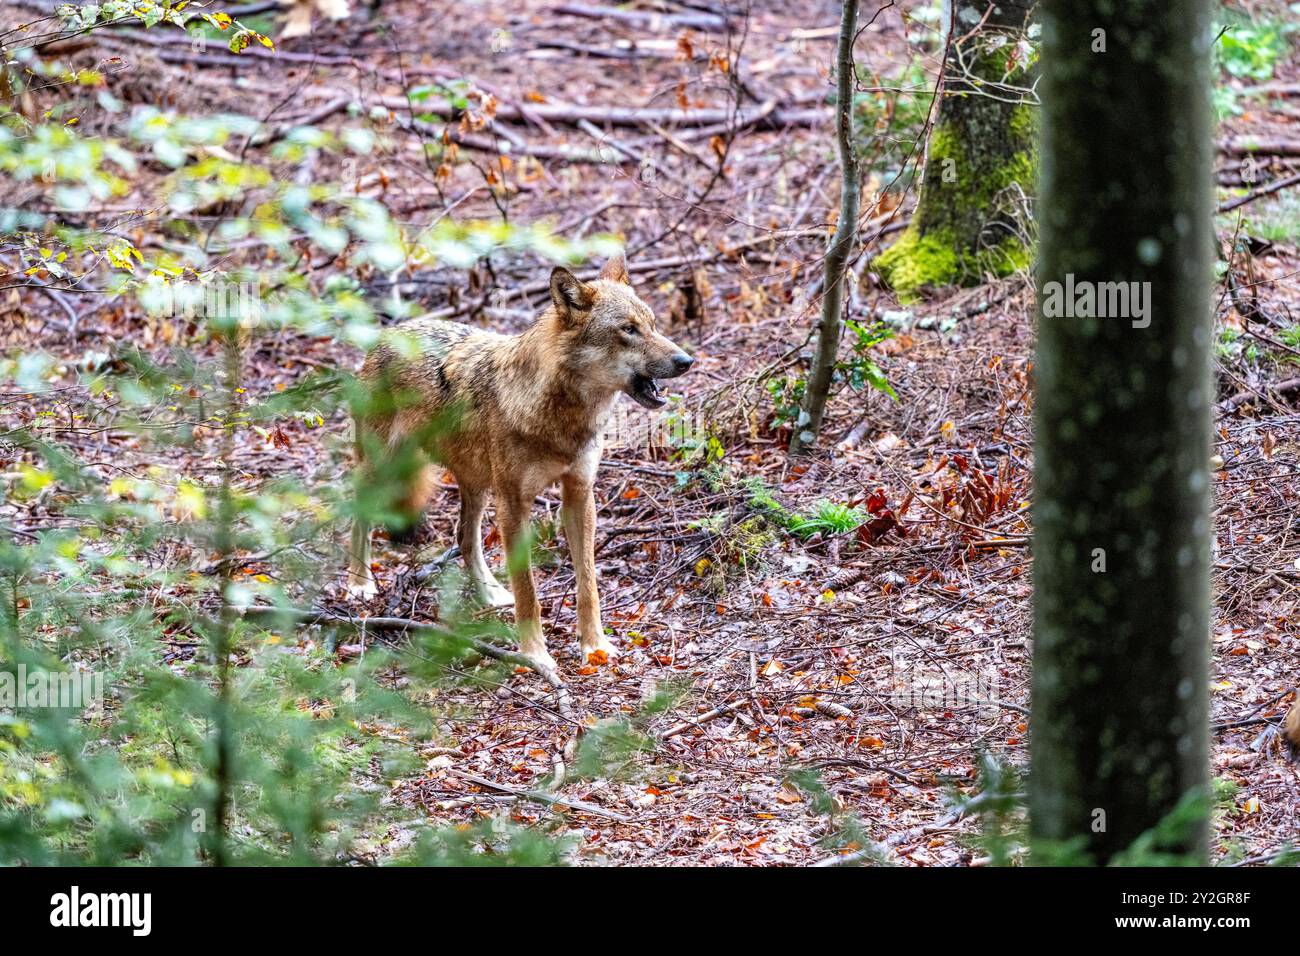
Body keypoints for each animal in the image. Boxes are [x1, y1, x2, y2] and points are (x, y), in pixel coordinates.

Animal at [347, 254, 693, 671]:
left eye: (654, 325)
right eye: (629, 330)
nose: (686, 360)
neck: (560, 417)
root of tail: (388, 333)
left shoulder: (580, 495)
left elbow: (588, 584)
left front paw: (594, 646)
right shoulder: (514, 503)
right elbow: (528, 590)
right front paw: (535, 655)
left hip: (477, 484)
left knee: (464, 538)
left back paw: (491, 594)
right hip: (384, 468)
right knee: (359, 516)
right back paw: (359, 583)